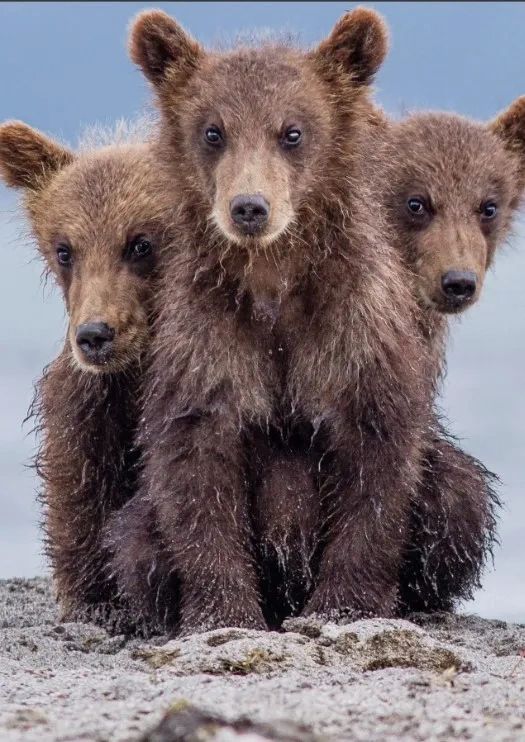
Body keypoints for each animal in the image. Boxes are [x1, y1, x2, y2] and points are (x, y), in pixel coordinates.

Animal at [0, 121, 178, 630]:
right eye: (65, 250)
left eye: (140, 242)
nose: (95, 334)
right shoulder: (93, 396)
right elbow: (79, 474)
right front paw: (95, 600)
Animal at [113, 6, 435, 636]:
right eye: (213, 131)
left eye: (292, 131)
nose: (249, 208)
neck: (273, 279)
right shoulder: (207, 335)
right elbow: (197, 467)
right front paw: (222, 613)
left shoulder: (352, 327)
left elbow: (375, 459)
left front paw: (344, 606)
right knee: (135, 542)